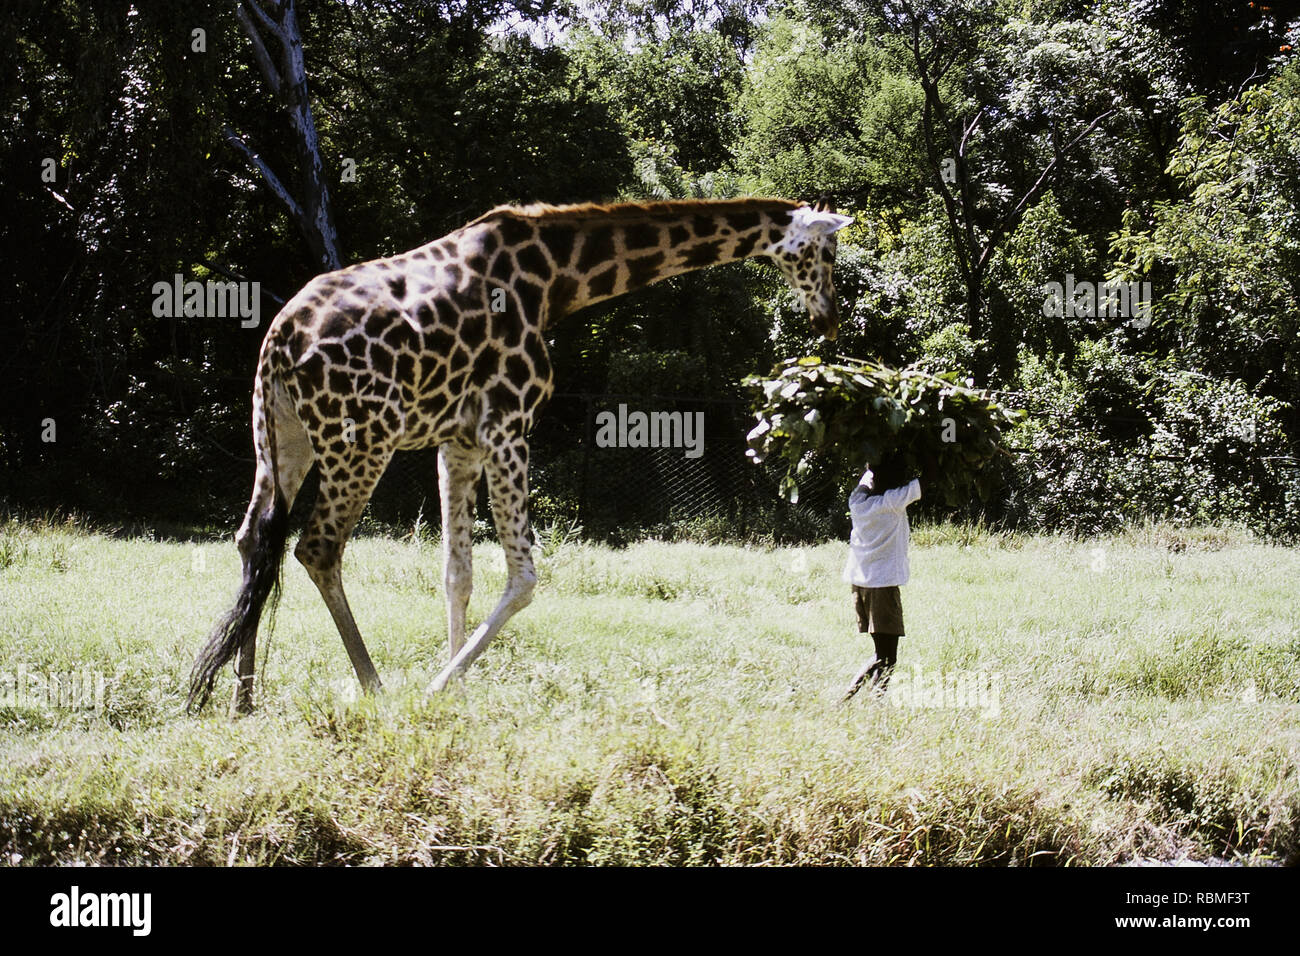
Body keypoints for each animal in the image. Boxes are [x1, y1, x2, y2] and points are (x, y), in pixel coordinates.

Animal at [188, 197, 854, 713]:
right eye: (826, 252)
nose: (829, 319)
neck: (558, 281)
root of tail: (279, 341)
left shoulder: (456, 441)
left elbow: (456, 573)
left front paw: (454, 690)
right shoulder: (509, 424)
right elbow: (525, 578)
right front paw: (436, 689)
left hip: (281, 436)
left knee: (253, 538)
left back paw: (244, 696)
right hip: (361, 440)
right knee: (316, 547)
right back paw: (375, 690)